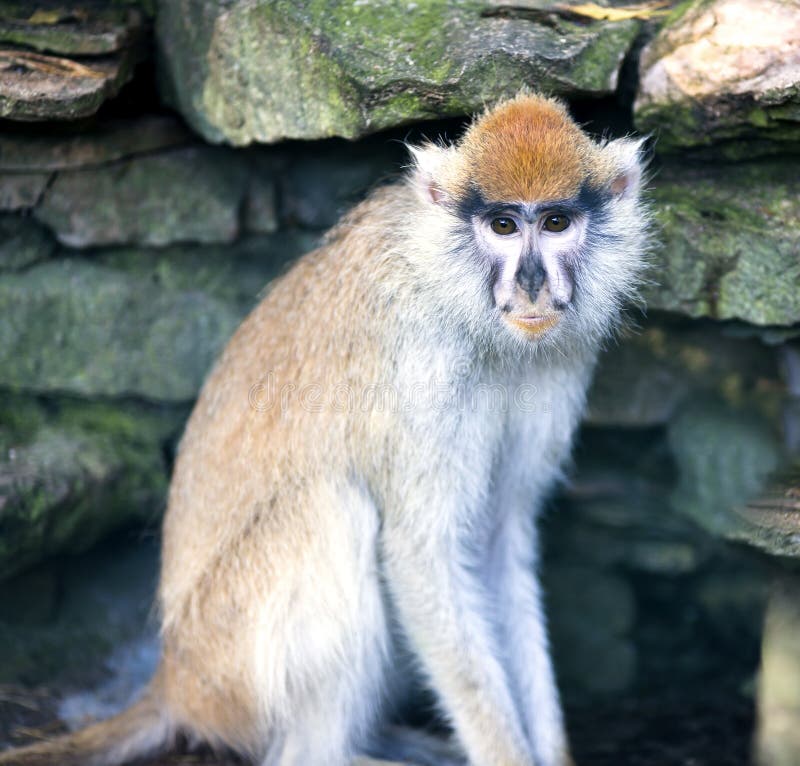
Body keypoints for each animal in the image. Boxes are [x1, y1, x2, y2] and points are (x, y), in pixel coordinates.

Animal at [0, 93, 648, 766]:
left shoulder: (557, 362)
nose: (531, 283)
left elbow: (499, 539)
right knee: (332, 505)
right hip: (233, 668)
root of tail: (175, 681)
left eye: (555, 223)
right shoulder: (419, 369)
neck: (460, 301)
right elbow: (421, 555)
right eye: (502, 226)